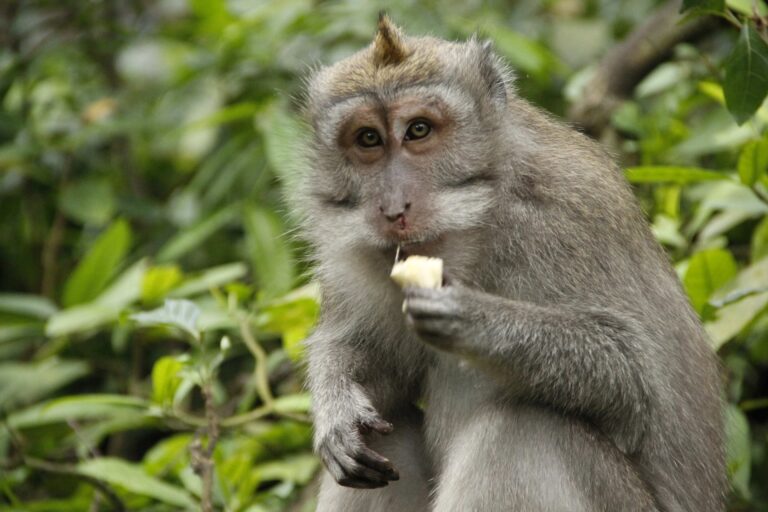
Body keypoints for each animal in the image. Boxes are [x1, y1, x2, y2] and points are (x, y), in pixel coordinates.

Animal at [297, 15, 725, 512]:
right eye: (368, 139)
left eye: (419, 130)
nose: (393, 208)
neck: (481, 213)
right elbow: (371, 364)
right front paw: (337, 406)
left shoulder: (561, 214)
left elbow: (633, 381)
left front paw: (475, 318)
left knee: (519, 429)